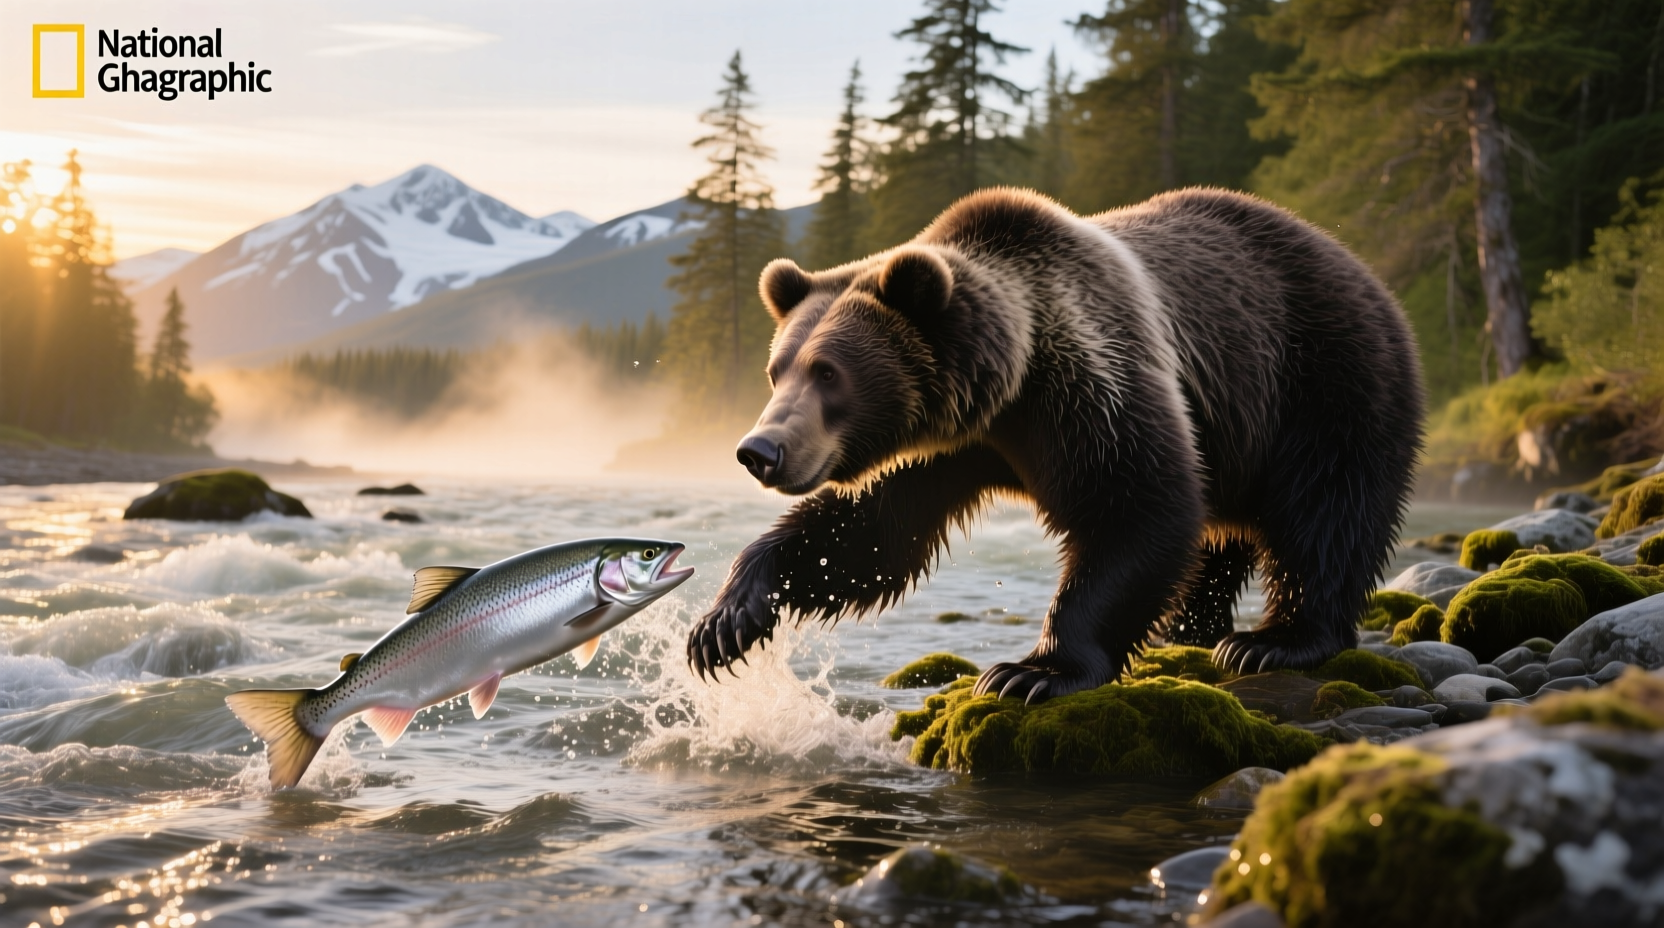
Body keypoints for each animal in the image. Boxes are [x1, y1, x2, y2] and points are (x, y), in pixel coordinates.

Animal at [685, 187, 1424, 703]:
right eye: (779, 369)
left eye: (829, 374)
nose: (759, 450)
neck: (1005, 387)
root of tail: (1362, 269)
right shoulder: (946, 449)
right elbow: (870, 534)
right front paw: (726, 620)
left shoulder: (1091, 384)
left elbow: (1136, 507)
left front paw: (1030, 670)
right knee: (1219, 540)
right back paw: (1190, 629)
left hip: (1323, 379)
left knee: (1328, 510)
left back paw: (1273, 641)